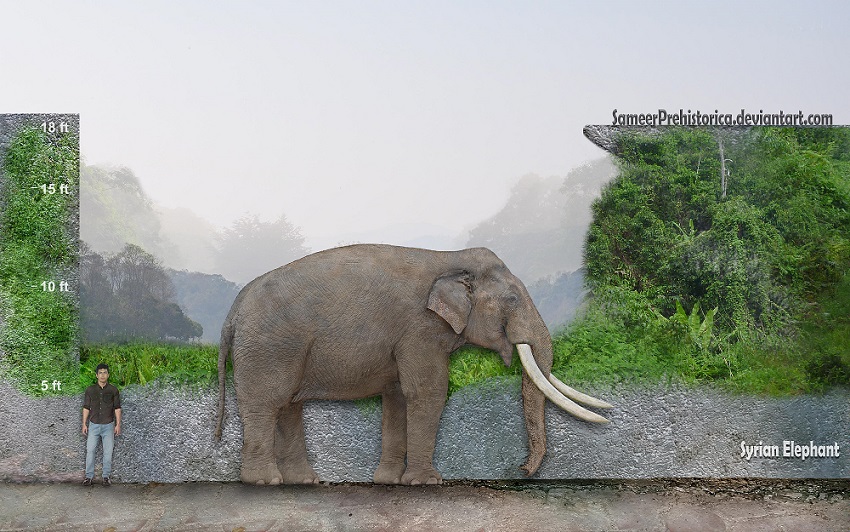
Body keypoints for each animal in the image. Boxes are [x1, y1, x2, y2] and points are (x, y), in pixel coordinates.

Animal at [215, 244, 611, 485]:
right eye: (513, 299)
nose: (521, 469)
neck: (450, 257)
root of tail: (234, 309)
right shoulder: (420, 328)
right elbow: (428, 392)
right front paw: (427, 482)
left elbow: (398, 397)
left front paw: (388, 482)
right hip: (269, 347)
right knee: (266, 403)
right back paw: (264, 481)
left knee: (289, 405)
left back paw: (304, 482)